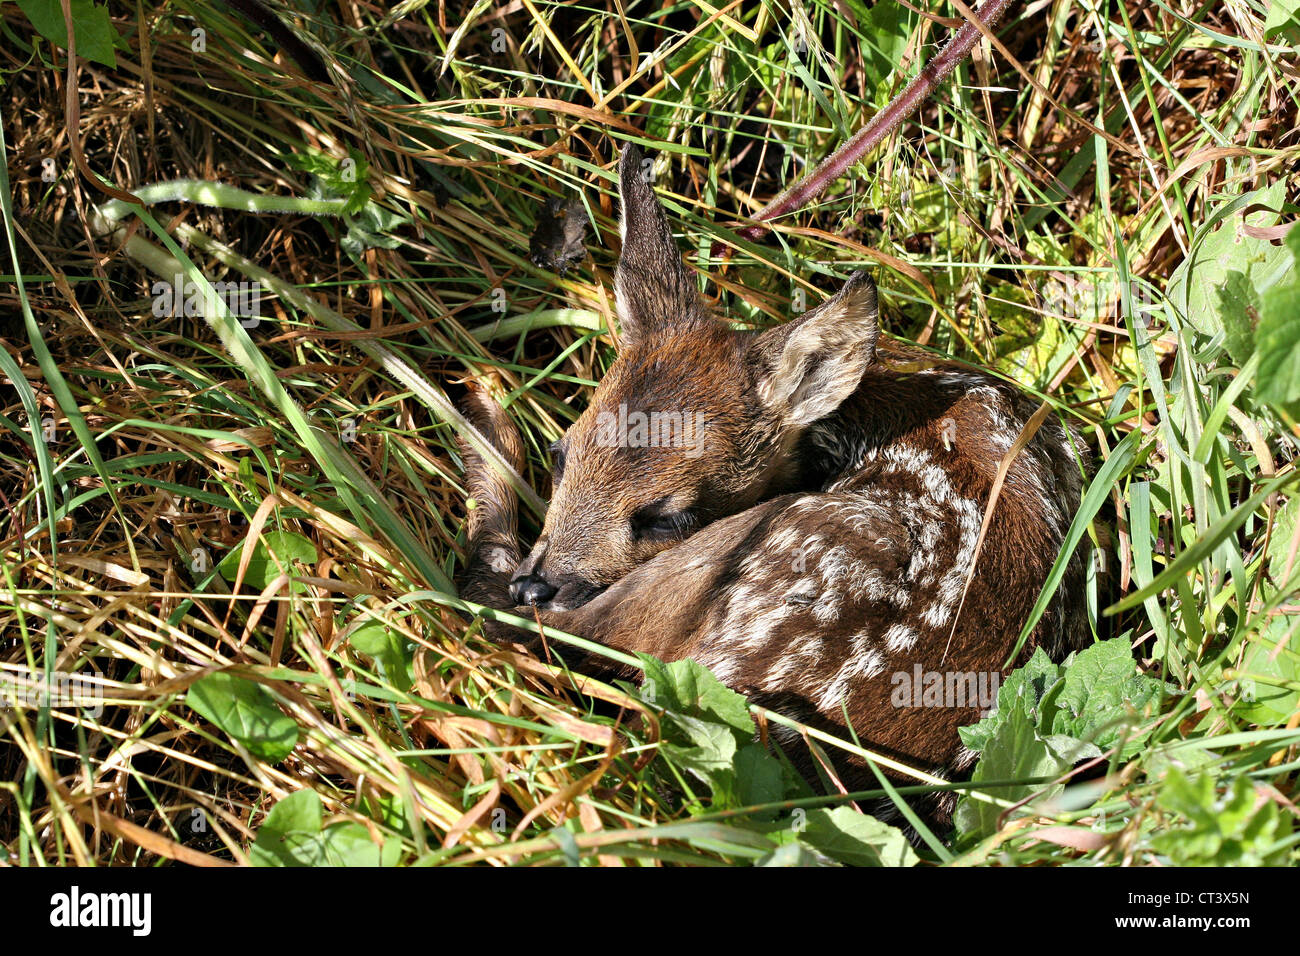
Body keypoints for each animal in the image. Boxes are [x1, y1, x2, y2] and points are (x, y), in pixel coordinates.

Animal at [457, 144, 1090, 822]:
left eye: (667, 516)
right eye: (560, 454)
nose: (538, 585)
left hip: (756, 549)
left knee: (496, 603)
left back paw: (483, 412)